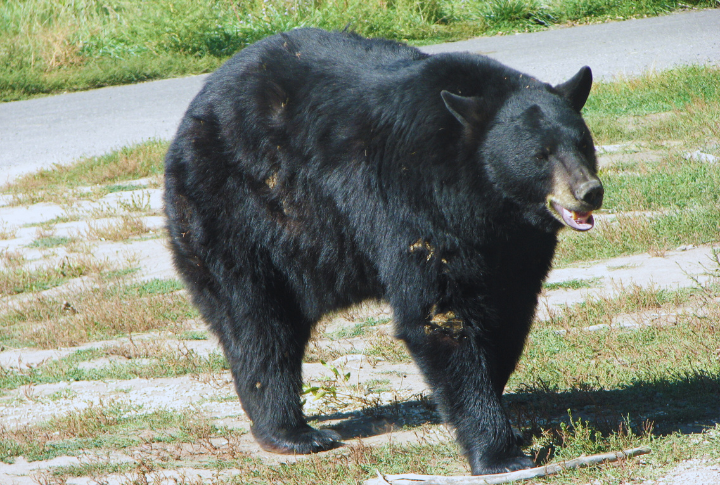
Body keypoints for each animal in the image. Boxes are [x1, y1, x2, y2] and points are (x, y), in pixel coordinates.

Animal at [164, 28, 603, 475]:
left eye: (583, 142)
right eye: (540, 155)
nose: (589, 191)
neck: (485, 198)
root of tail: (195, 108)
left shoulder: (516, 244)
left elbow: (510, 311)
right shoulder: (415, 203)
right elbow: (440, 314)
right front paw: (498, 452)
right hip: (236, 211)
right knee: (258, 322)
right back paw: (293, 433)